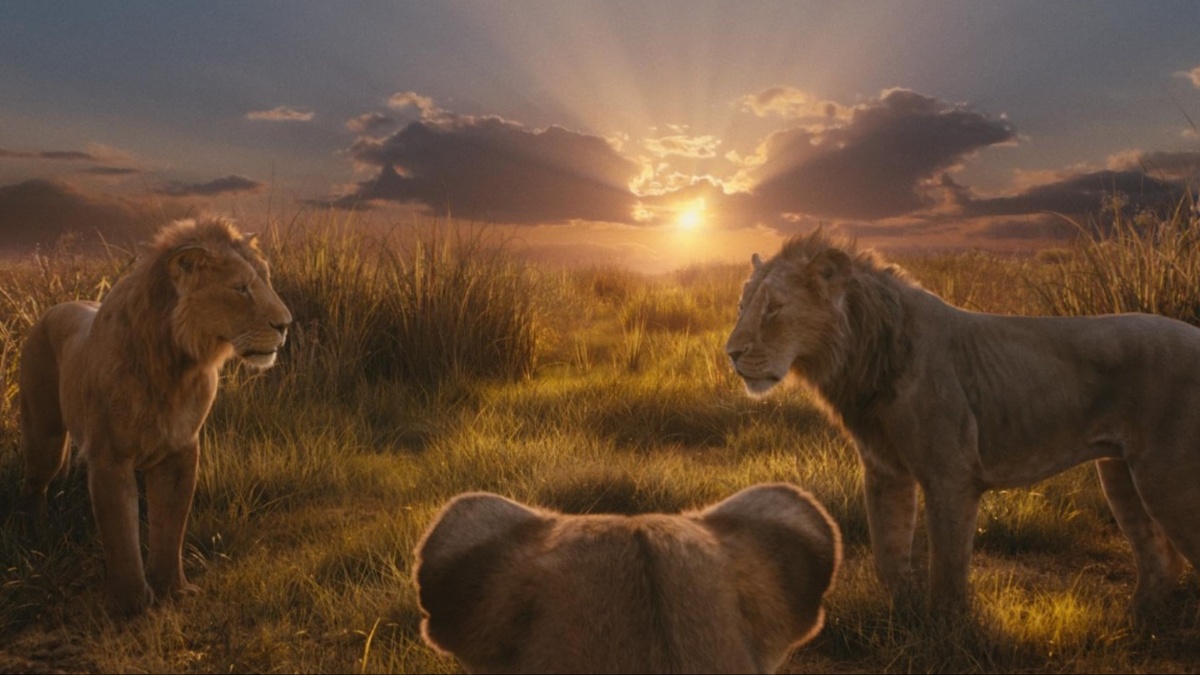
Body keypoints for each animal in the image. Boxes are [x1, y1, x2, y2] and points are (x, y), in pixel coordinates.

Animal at [18, 216, 292, 617]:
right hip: (45, 437)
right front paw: (131, 603)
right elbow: (121, 535)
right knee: (34, 485)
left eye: (266, 281)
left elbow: (169, 527)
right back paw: (34, 538)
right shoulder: (109, 458)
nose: (286, 325)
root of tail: (53, 308)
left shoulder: (180, 451)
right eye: (241, 288)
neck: (176, 366)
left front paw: (173, 590)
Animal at [725, 229, 1200, 619]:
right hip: (1119, 473)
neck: (862, 355)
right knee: (1162, 562)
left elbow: (948, 570)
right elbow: (888, 554)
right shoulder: (885, 471)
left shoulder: (950, 476)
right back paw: (1133, 624)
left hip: (1167, 480)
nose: (730, 353)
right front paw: (903, 617)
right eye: (742, 305)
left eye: (774, 308)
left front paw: (945, 630)